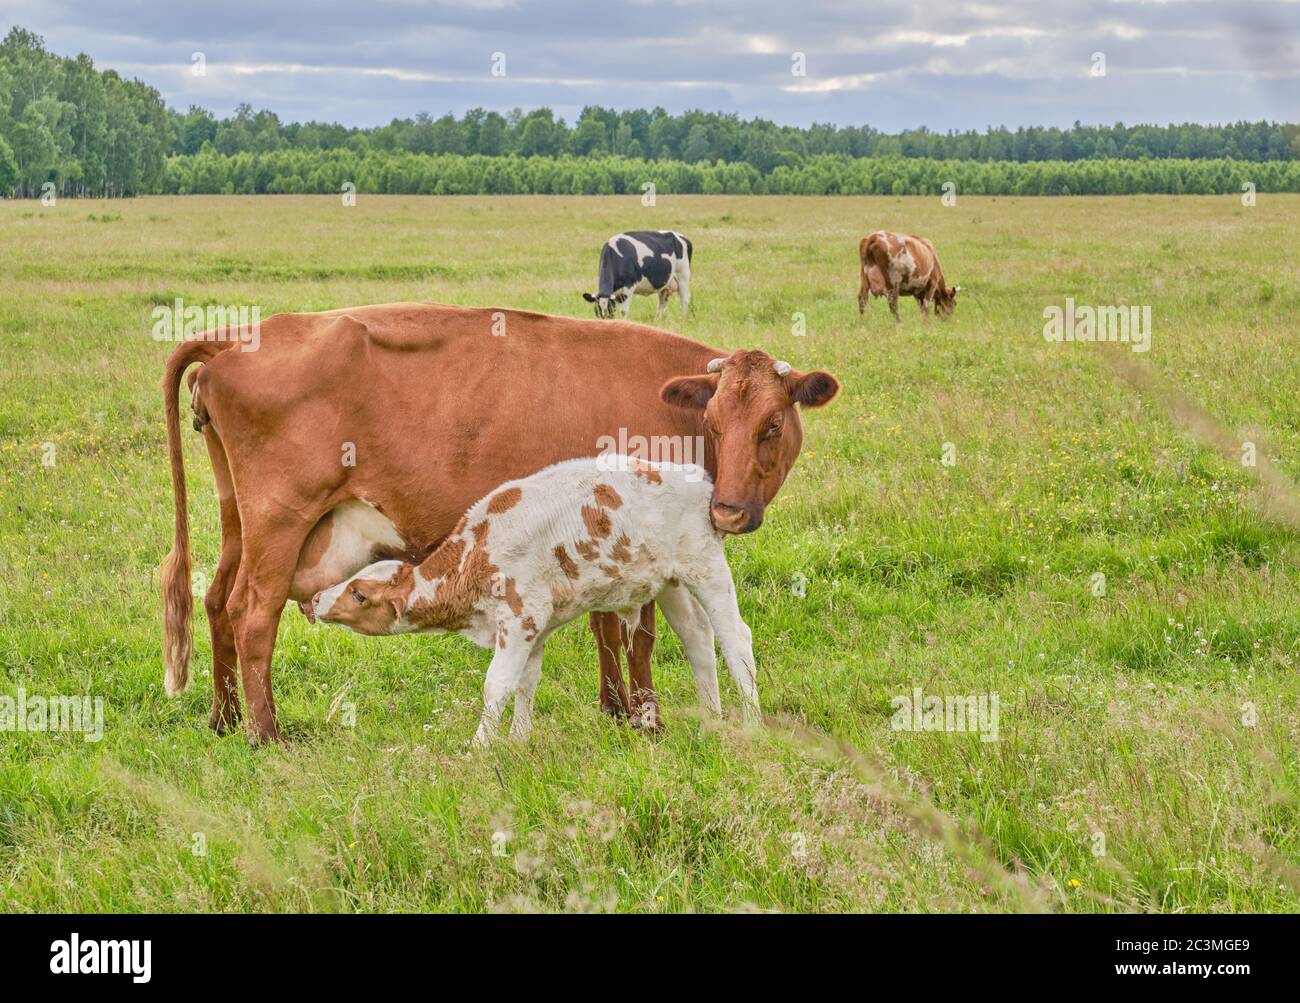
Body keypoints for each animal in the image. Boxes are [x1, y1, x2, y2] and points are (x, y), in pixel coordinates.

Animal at [311, 455, 759, 745]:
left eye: (359, 593)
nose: (316, 599)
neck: (479, 551)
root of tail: (695, 476)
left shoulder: (519, 620)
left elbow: (497, 684)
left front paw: (480, 747)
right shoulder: (536, 628)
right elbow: (526, 682)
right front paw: (519, 739)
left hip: (707, 569)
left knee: (736, 639)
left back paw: (750, 723)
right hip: (671, 582)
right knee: (698, 639)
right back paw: (711, 718)